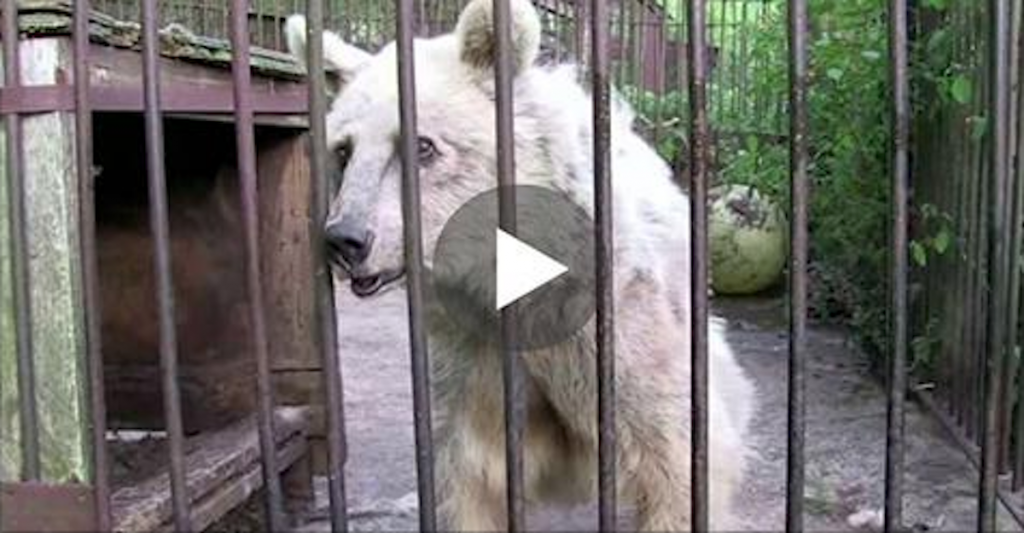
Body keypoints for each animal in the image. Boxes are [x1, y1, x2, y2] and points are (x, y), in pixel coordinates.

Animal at [285, 0, 755, 529]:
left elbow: (676, 459)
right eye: (344, 149)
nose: (345, 239)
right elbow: (468, 476)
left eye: (422, 145)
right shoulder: (469, 355)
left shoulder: (619, 329)